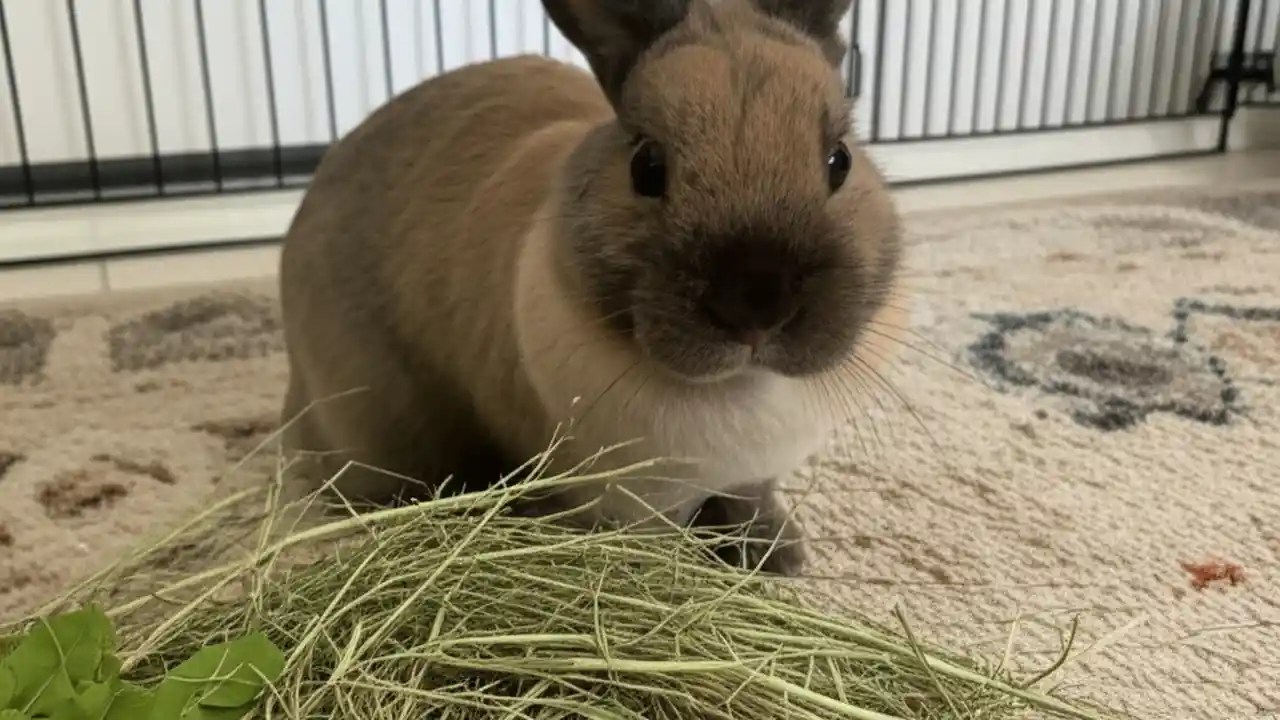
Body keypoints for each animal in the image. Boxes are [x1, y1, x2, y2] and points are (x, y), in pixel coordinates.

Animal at [277, 0, 903, 576]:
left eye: (839, 160)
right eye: (646, 165)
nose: (757, 307)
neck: (737, 388)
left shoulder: (748, 474)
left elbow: (749, 498)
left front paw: (778, 553)